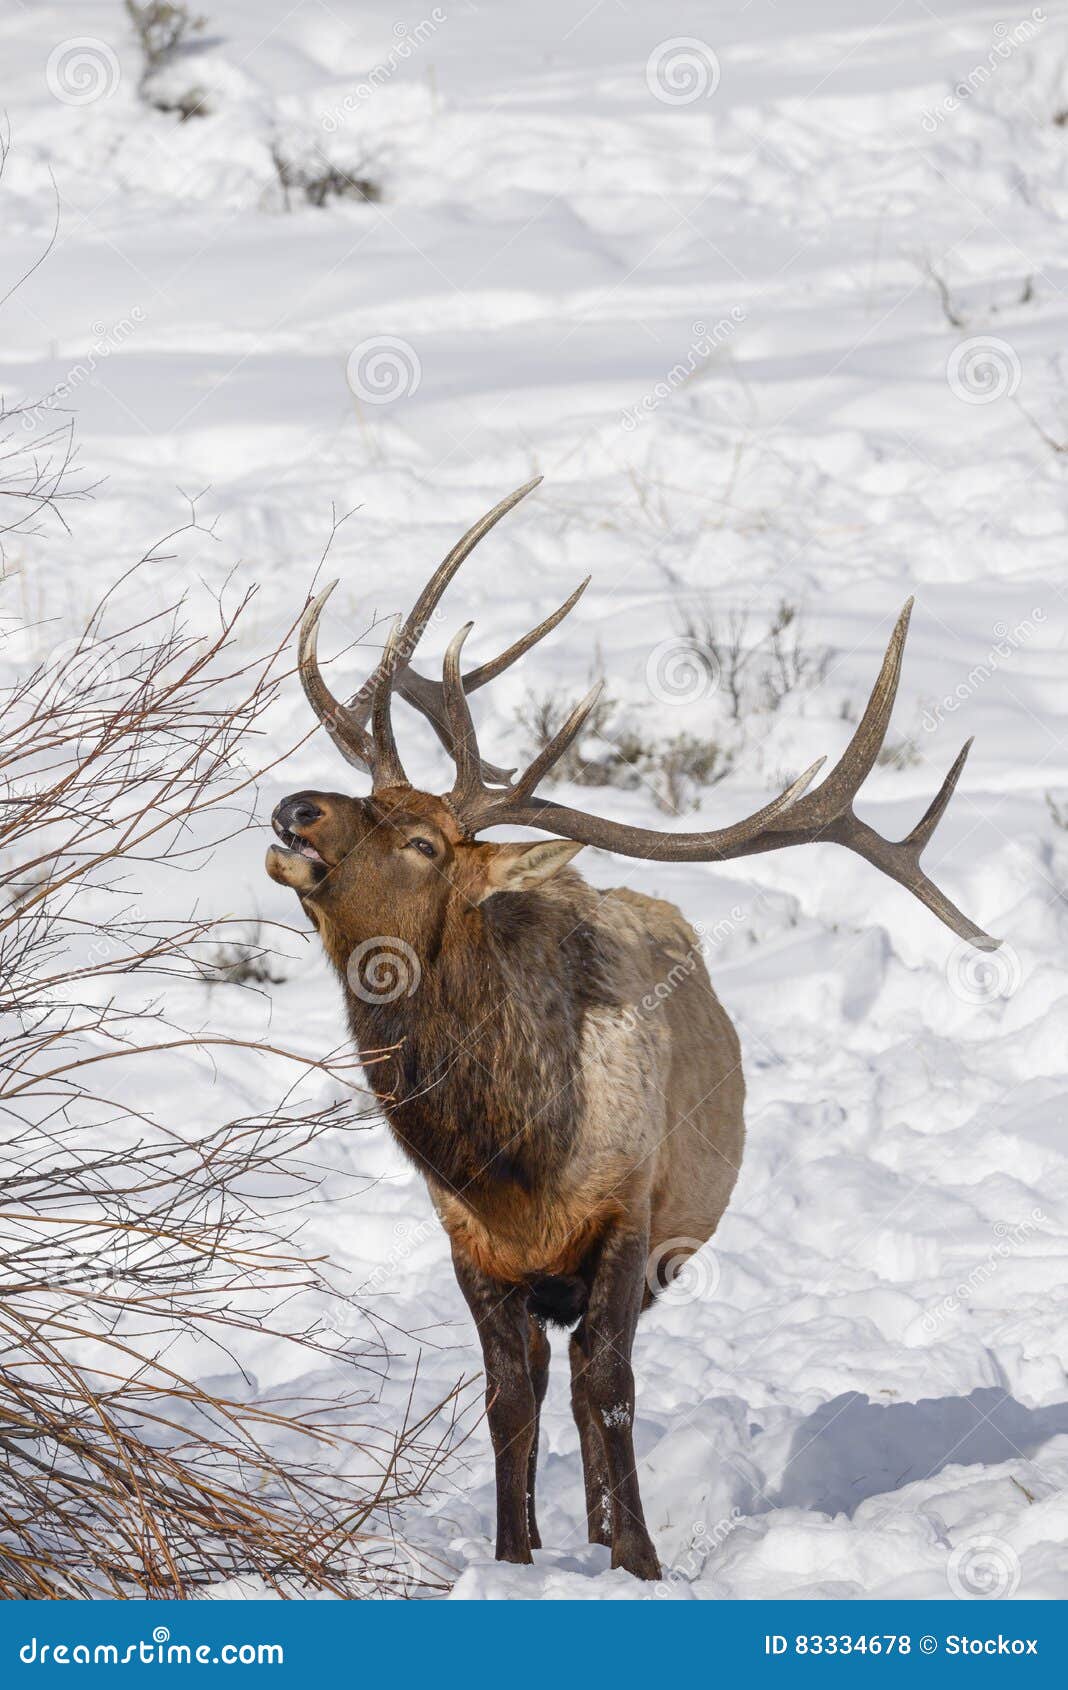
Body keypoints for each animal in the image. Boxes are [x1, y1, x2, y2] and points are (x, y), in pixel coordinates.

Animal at [265, 479, 997, 1581]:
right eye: (363, 796)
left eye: (425, 840)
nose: (295, 807)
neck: (514, 1160)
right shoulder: (467, 1239)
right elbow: (507, 1397)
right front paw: (514, 1558)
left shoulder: (631, 1216)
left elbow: (607, 1388)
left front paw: (640, 1563)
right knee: (546, 1374)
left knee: (589, 1376)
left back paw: (612, 1531)